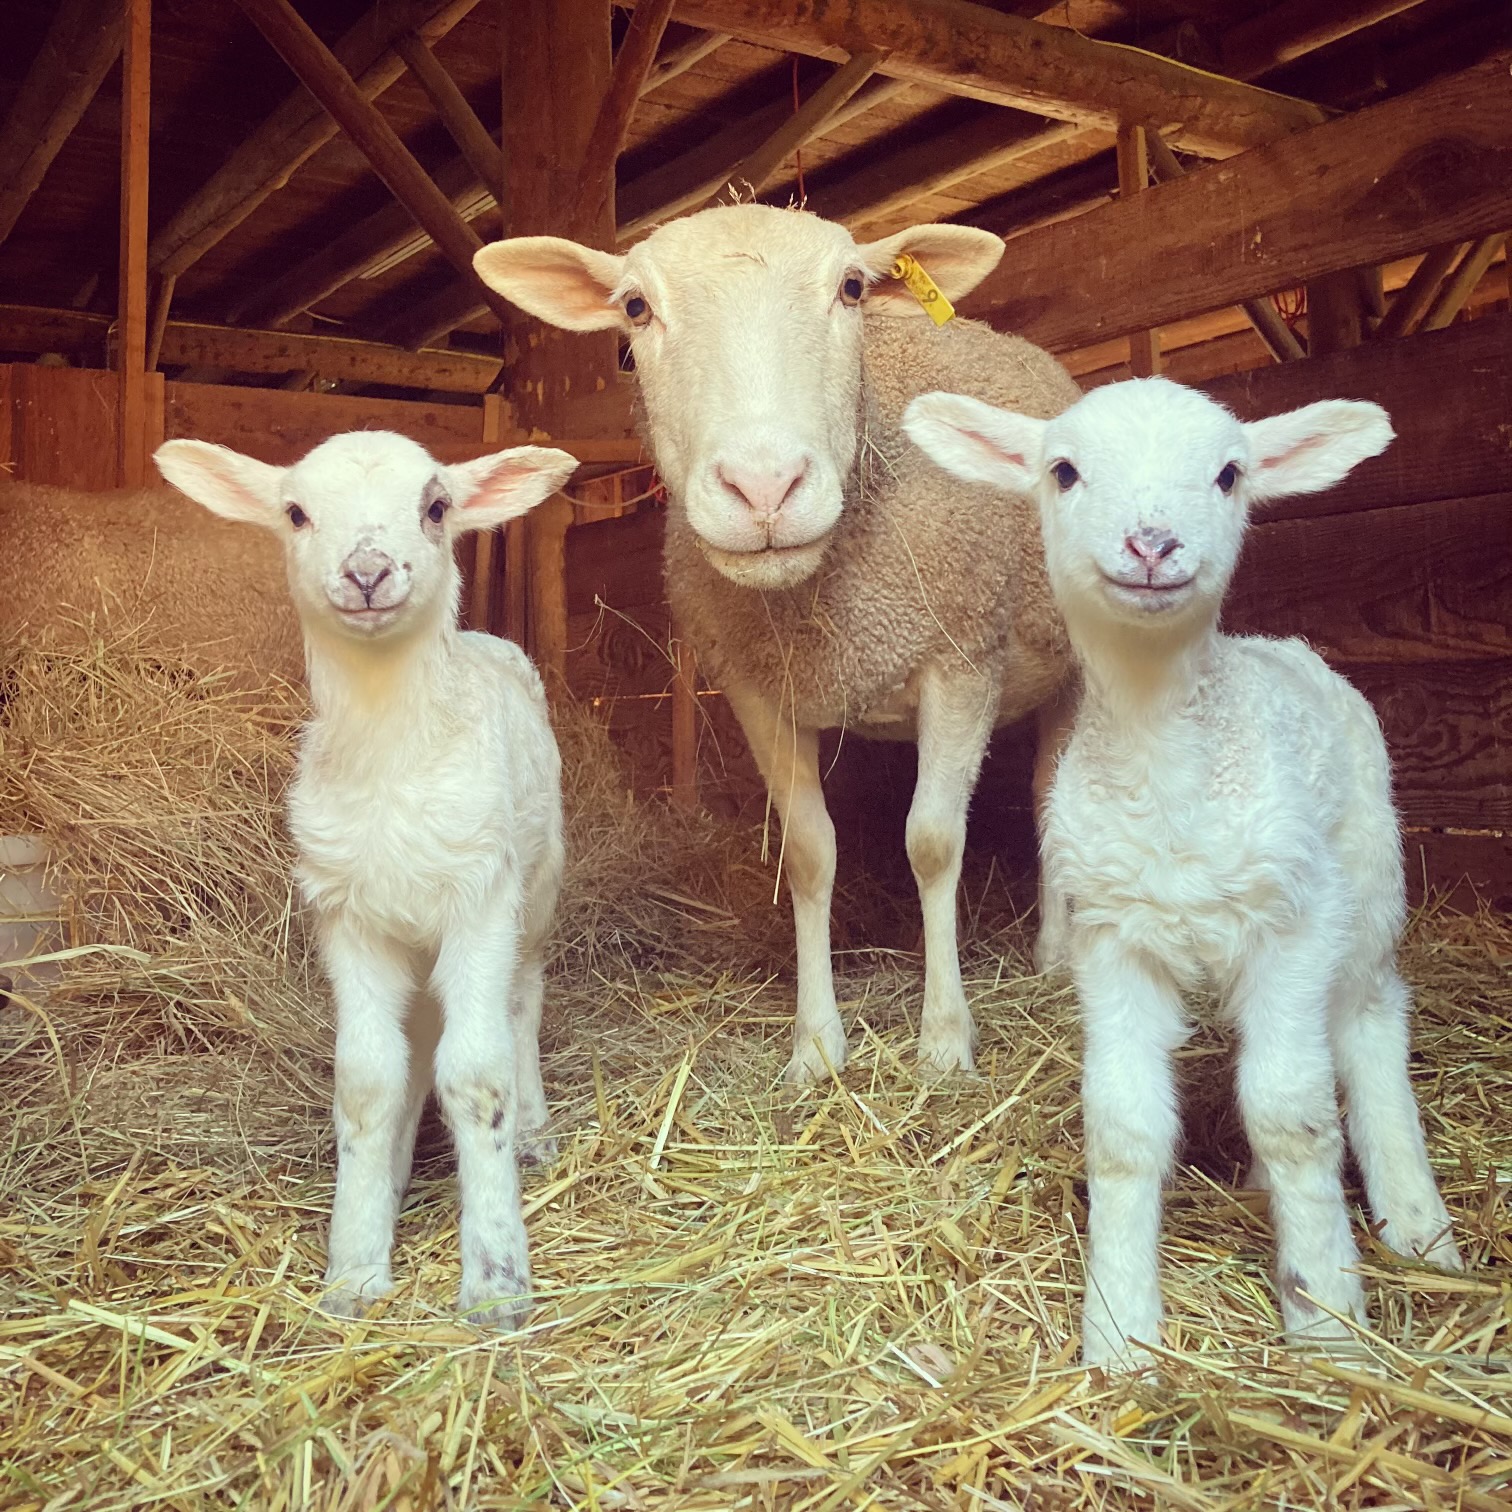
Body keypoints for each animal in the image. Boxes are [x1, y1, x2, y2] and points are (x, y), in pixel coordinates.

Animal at [154, 429, 577, 1328]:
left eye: (437, 506)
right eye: (295, 512)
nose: (369, 570)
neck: (392, 759)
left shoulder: (479, 896)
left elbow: (476, 1071)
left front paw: (496, 1282)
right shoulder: (346, 913)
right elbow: (367, 1078)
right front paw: (353, 1265)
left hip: (539, 883)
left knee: (522, 1003)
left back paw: (531, 1133)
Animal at [473, 203, 1082, 1084]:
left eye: (854, 287)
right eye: (634, 310)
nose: (764, 489)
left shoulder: (962, 659)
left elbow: (933, 844)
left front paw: (943, 1040)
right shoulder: (760, 688)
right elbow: (809, 854)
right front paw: (817, 1045)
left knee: (1050, 795)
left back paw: (1057, 954)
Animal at [903, 376, 1463, 1369]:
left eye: (1231, 473)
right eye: (1063, 470)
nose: (1153, 543)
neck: (1166, 752)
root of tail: (1285, 646)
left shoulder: (1294, 921)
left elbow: (1293, 1117)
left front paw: (1329, 1327)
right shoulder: (1112, 938)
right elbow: (1123, 1129)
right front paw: (1120, 1333)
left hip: (1366, 874)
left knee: (1367, 1025)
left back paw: (1415, 1219)